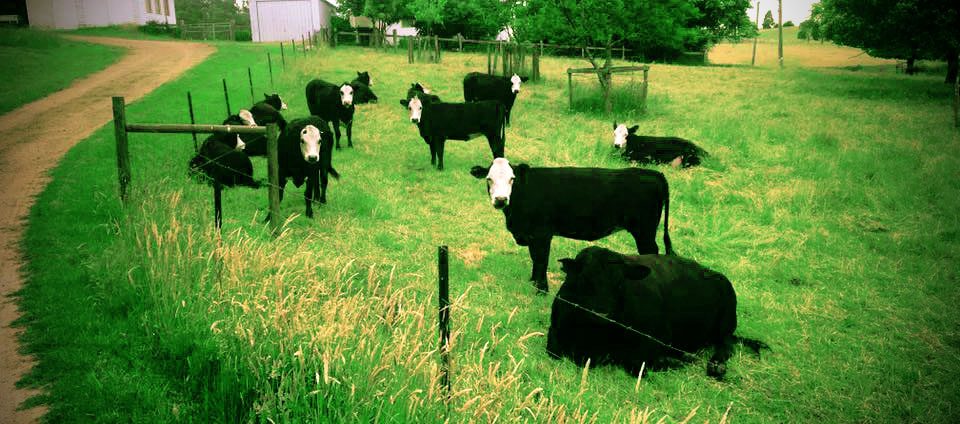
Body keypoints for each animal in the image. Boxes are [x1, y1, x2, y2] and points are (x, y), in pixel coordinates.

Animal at [469, 158, 673, 292]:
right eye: (489, 179)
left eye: (512, 179)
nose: (501, 200)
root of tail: (653, 173)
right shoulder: (532, 236)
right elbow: (535, 259)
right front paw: (533, 282)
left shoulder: (542, 234)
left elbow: (541, 259)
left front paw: (542, 289)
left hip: (644, 232)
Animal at [548, 246, 769, 380]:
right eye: (584, 280)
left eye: (620, 284)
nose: (601, 314)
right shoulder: (555, 339)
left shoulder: (658, 336)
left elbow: (638, 363)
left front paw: (675, 360)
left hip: (726, 321)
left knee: (726, 344)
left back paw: (716, 366)